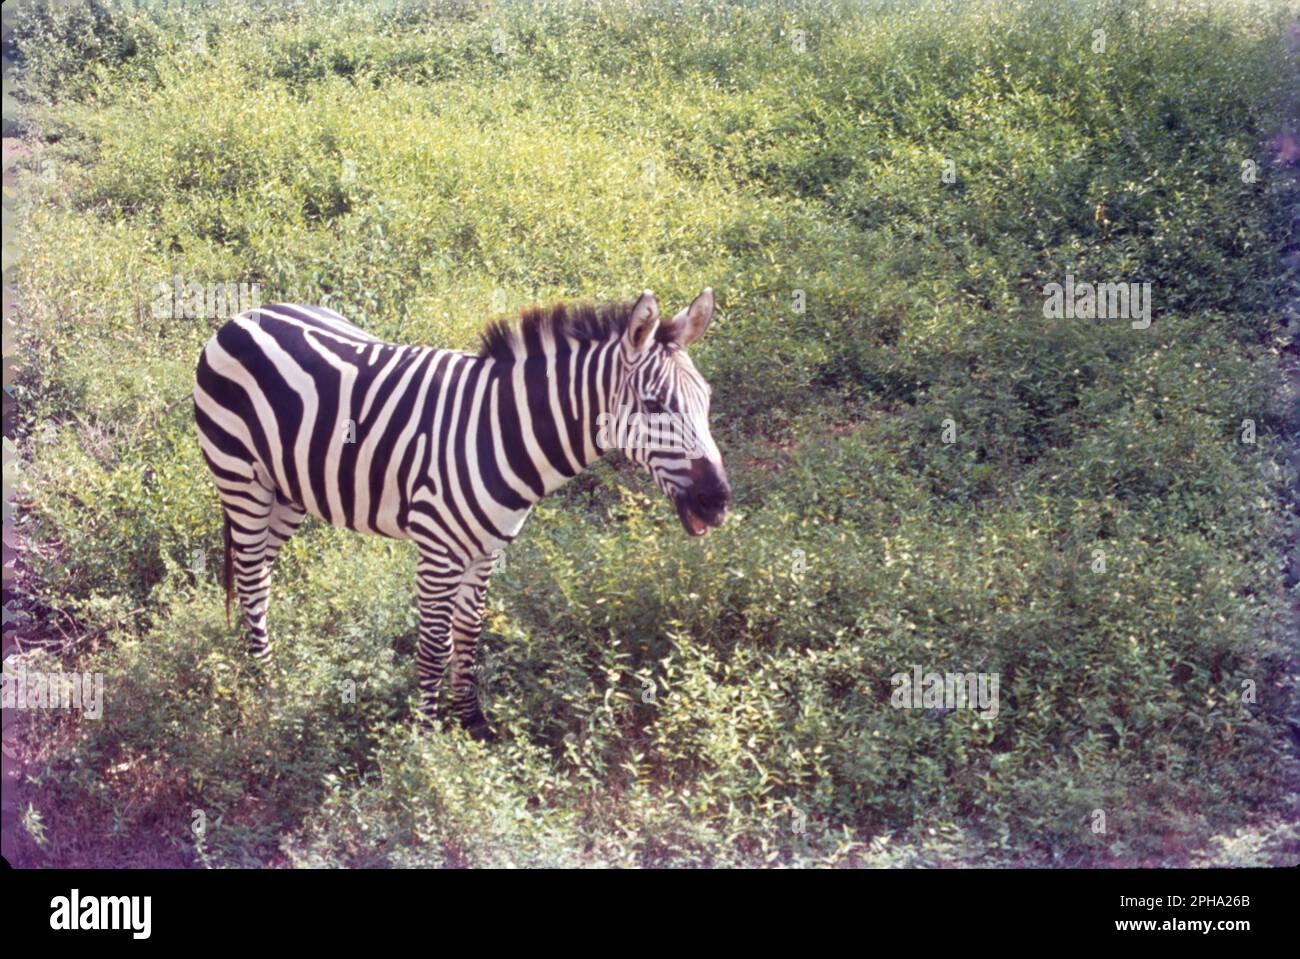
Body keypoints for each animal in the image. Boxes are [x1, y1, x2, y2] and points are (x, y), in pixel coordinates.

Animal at [193, 289, 729, 740]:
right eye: (654, 406)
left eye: (706, 399)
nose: (718, 501)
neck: (504, 432)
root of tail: (243, 315)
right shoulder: (438, 552)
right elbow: (434, 646)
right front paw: (426, 738)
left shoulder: (486, 550)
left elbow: (468, 635)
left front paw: (473, 722)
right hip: (240, 476)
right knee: (250, 575)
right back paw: (264, 679)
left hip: (287, 491)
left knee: (259, 574)